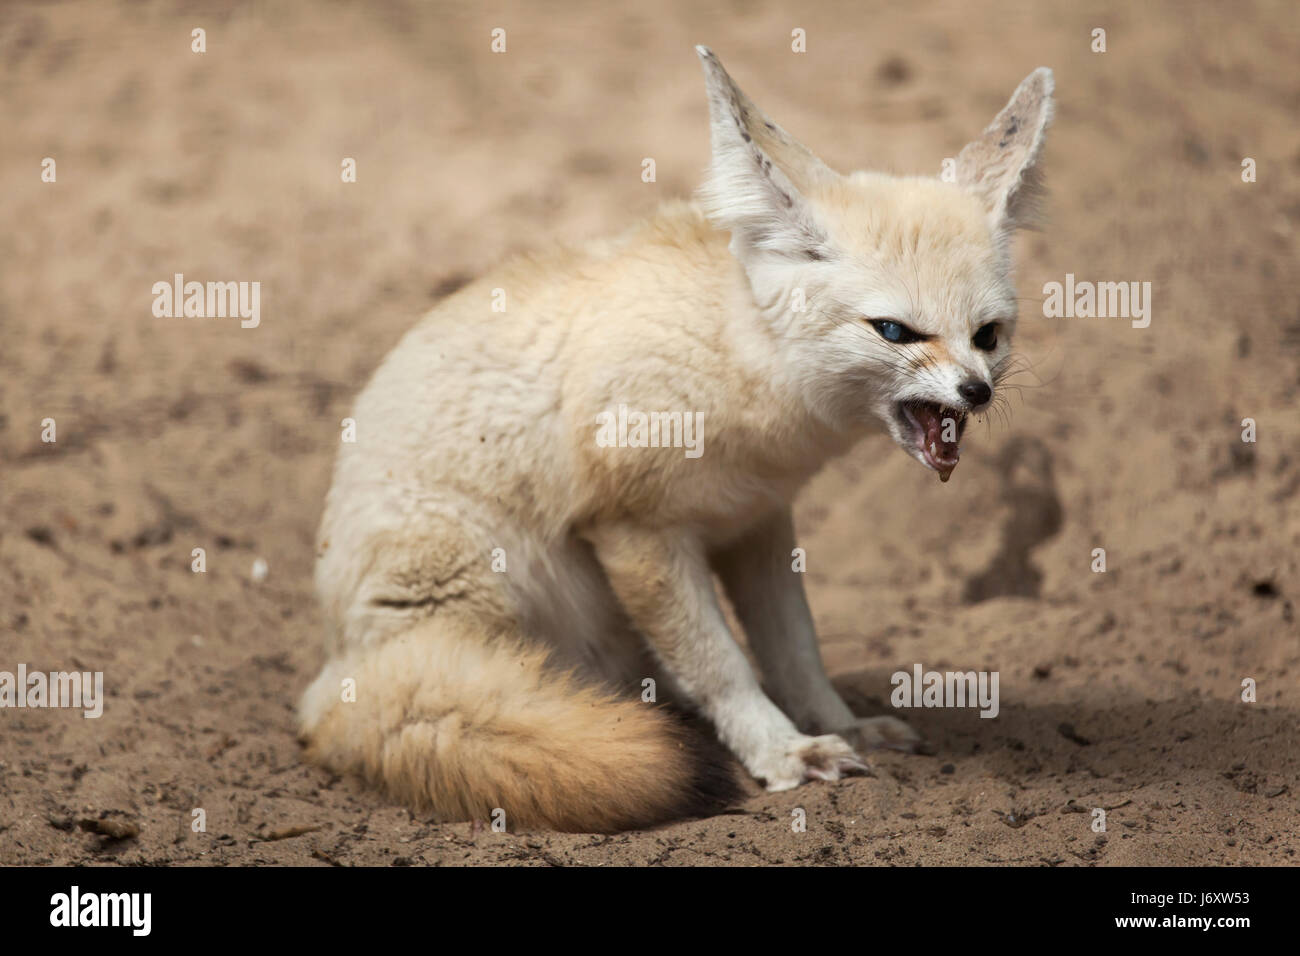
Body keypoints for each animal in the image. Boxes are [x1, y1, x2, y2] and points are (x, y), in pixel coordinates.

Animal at [299, 47, 1053, 832]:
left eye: (987, 336)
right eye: (896, 331)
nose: (977, 392)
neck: (736, 362)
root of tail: (335, 679)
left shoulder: (758, 523)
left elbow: (796, 651)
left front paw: (837, 725)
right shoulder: (637, 532)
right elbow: (723, 665)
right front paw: (782, 751)